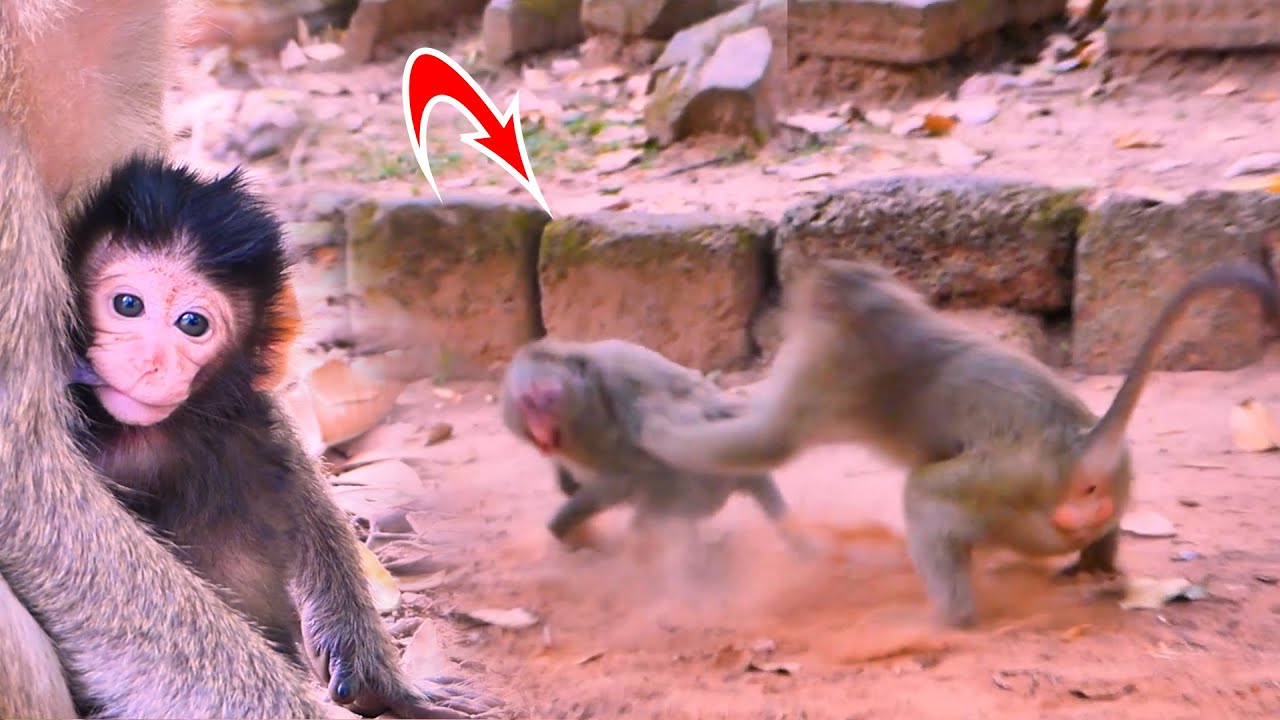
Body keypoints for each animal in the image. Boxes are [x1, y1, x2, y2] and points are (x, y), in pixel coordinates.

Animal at [500, 337, 809, 553]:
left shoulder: (620, 388)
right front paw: (566, 482)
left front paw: (565, 522)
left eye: (548, 399)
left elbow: (631, 473)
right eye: (528, 404)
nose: (539, 427)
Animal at [637, 258, 1280, 627]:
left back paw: (948, 618)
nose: (784, 313)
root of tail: (1077, 447)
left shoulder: (824, 365)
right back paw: (1095, 565)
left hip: (1013, 496)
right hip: (1110, 485)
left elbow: (767, 441)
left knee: (926, 495)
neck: (878, 309)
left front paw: (658, 433)